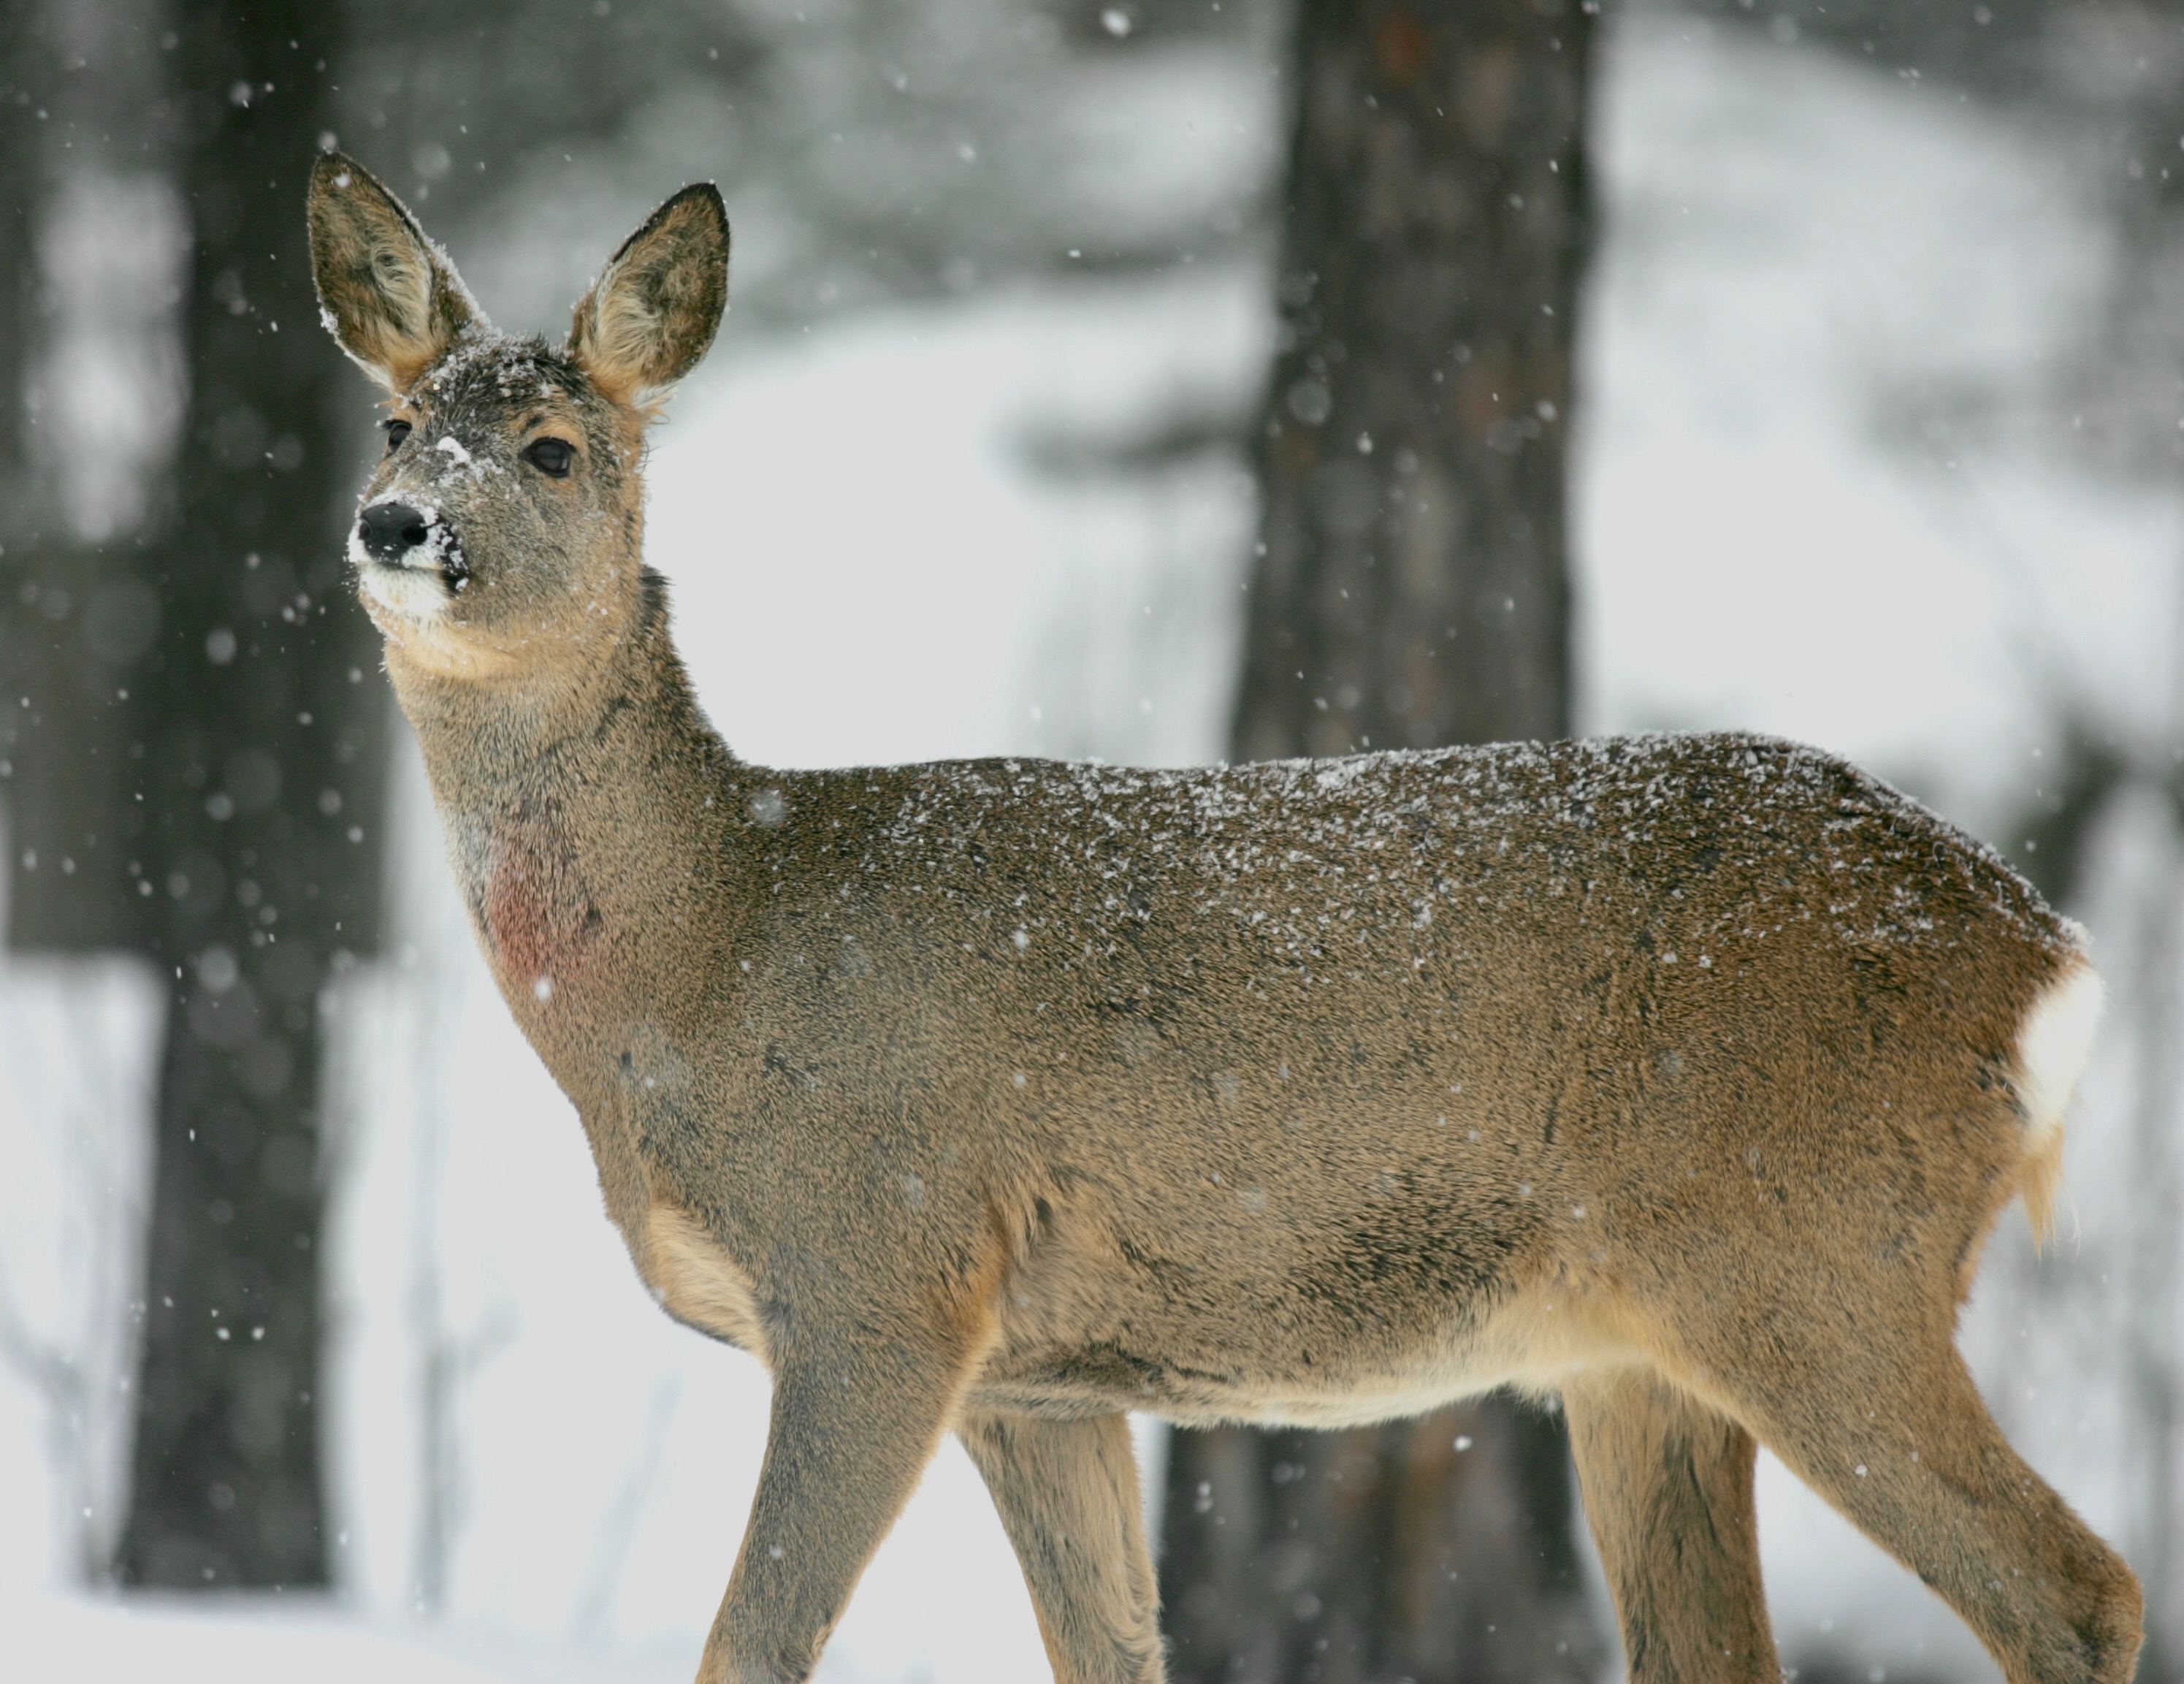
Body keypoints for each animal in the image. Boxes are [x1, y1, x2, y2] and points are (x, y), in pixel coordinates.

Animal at [305, 151, 2143, 1684]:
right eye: (394, 424)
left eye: (552, 448)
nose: (396, 525)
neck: (708, 956)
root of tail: (2046, 955)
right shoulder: (1037, 1374)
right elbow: (1111, 1654)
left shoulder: (880, 1274)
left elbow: (748, 1648)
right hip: (1648, 1346)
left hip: (1813, 1252)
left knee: (2077, 1589)